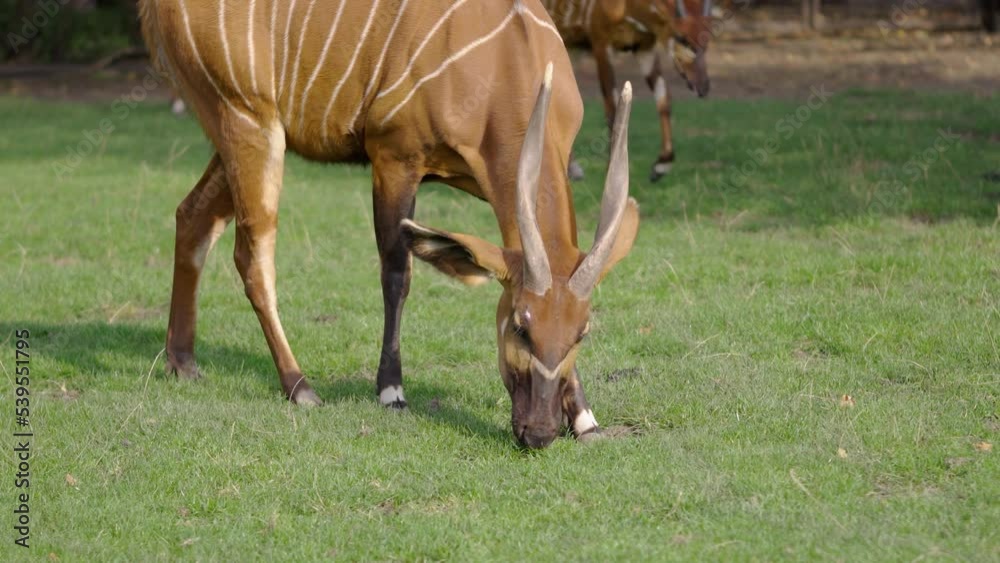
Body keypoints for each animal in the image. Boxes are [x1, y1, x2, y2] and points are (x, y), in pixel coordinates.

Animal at [139, 0, 639, 449]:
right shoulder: (395, 158)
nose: (538, 434)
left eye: (581, 333)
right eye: (520, 326)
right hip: (248, 123)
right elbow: (397, 273)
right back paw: (300, 387)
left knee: (192, 216)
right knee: (252, 257)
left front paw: (586, 420)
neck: (504, 61)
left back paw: (182, 362)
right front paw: (391, 390)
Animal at [541, 0, 714, 182]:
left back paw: (572, 169)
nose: (703, 87)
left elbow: (664, 98)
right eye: (682, 38)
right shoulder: (600, 41)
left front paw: (661, 166)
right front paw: (611, 171)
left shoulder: (644, 45)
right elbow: (612, 107)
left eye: (707, 37)